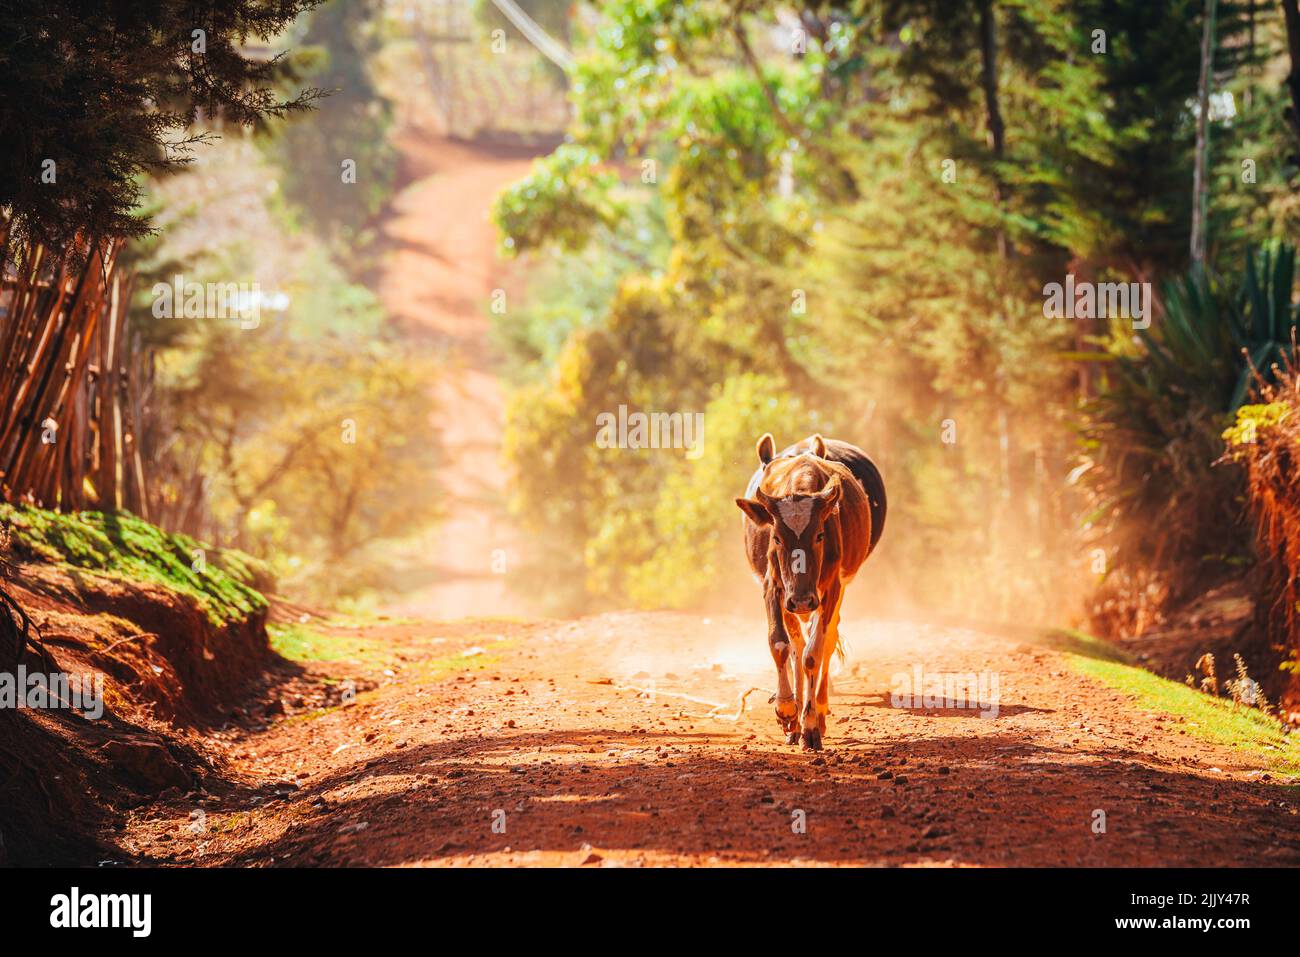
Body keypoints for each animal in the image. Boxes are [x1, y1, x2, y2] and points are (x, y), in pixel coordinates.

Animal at [735, 433, 886, 750]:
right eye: (777, 538)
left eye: (819, 535)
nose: (803, 600)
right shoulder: (774, 587)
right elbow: (781, 644)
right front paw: (786, 709)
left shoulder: (830, 589)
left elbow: (814, 653)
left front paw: (810, 726)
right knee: (797, 644)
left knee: (824, 642)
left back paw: (819, 710)